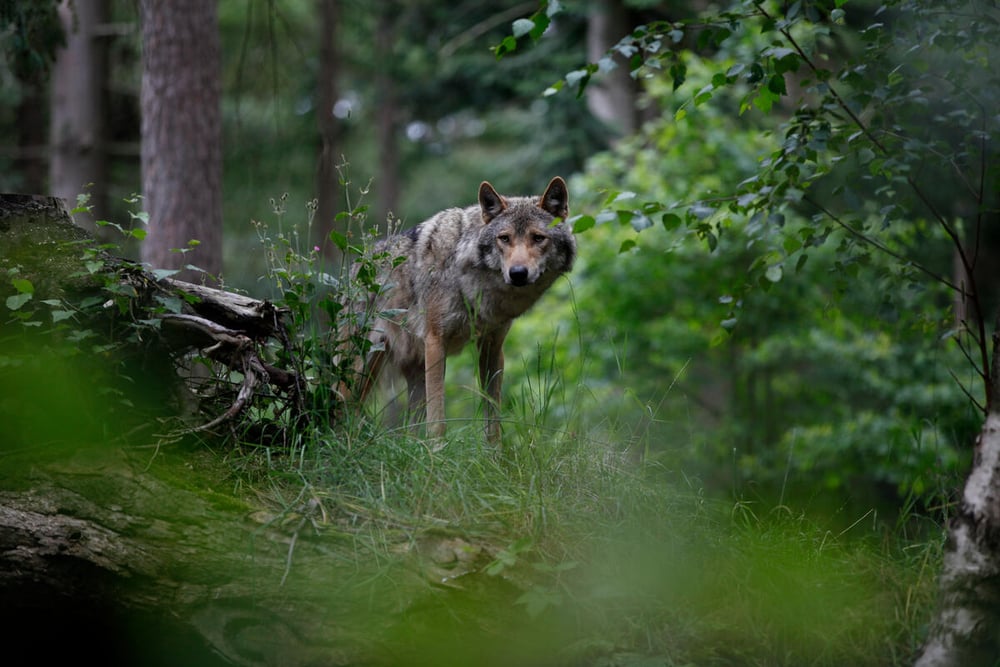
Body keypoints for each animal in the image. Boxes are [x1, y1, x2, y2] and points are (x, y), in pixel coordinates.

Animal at [343, 176, 576, 443]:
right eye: (504, 238)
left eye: (538, 238)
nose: (517, 273)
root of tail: (355, 267)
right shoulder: (435, 342)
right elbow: (438, 421)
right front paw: (437, 452)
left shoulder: (492, 347)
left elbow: (492, 419)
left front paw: (495, 453)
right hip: (359, 370)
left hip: (409, 376)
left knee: (408, 433)